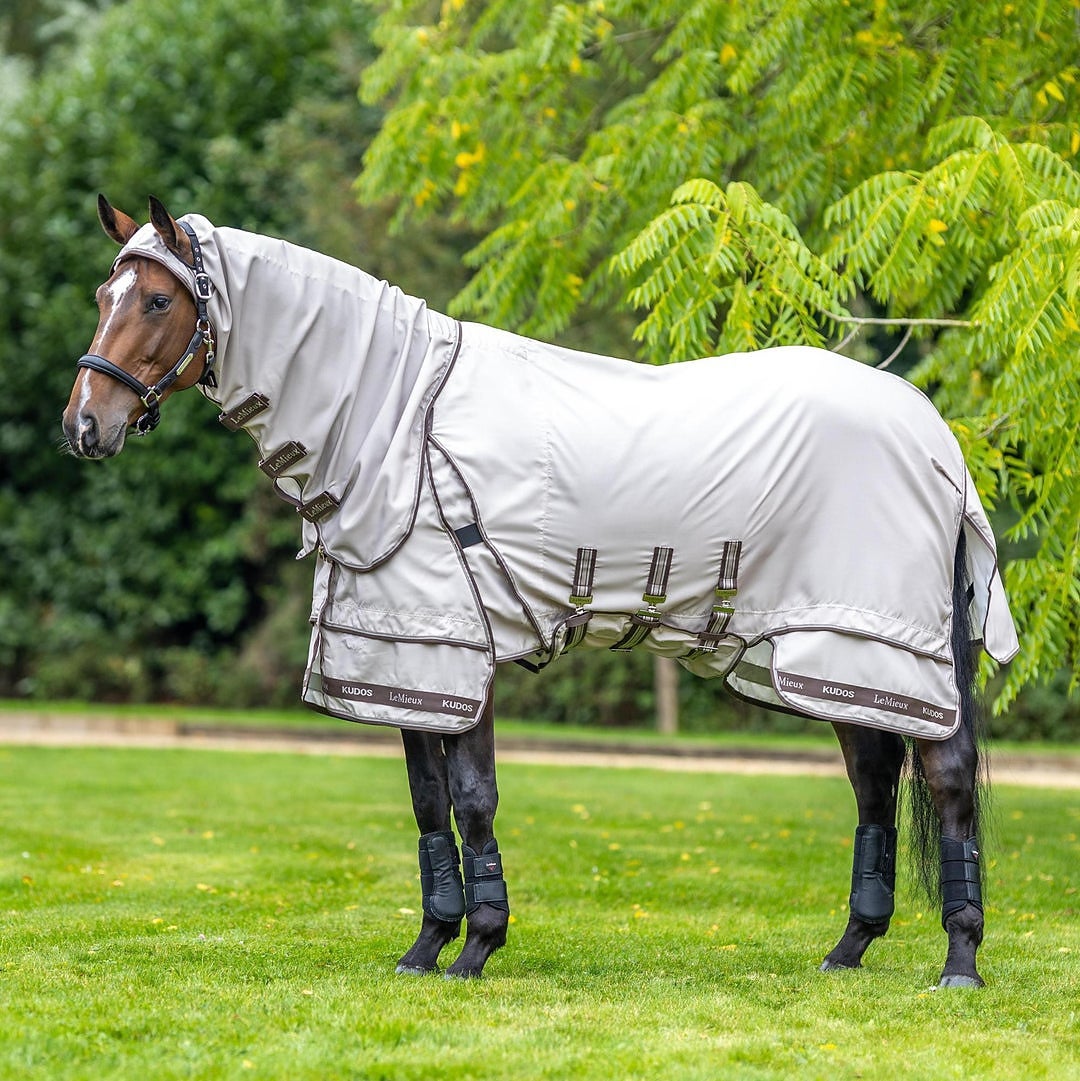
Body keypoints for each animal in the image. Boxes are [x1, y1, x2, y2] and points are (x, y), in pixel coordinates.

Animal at [62, 195, 1018, 986]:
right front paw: (427, 947)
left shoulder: (460, 654)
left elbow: (474, 800)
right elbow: (429, 804)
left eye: (156, 301)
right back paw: (849, 949)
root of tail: (936, 437)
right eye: (106, 294)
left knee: (947, 780)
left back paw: (960, 962)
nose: (84, 427)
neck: (399, 422)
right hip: (832, 658)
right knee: (874, 784)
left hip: (883, 650)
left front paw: (477, 947)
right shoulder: (407, 659)